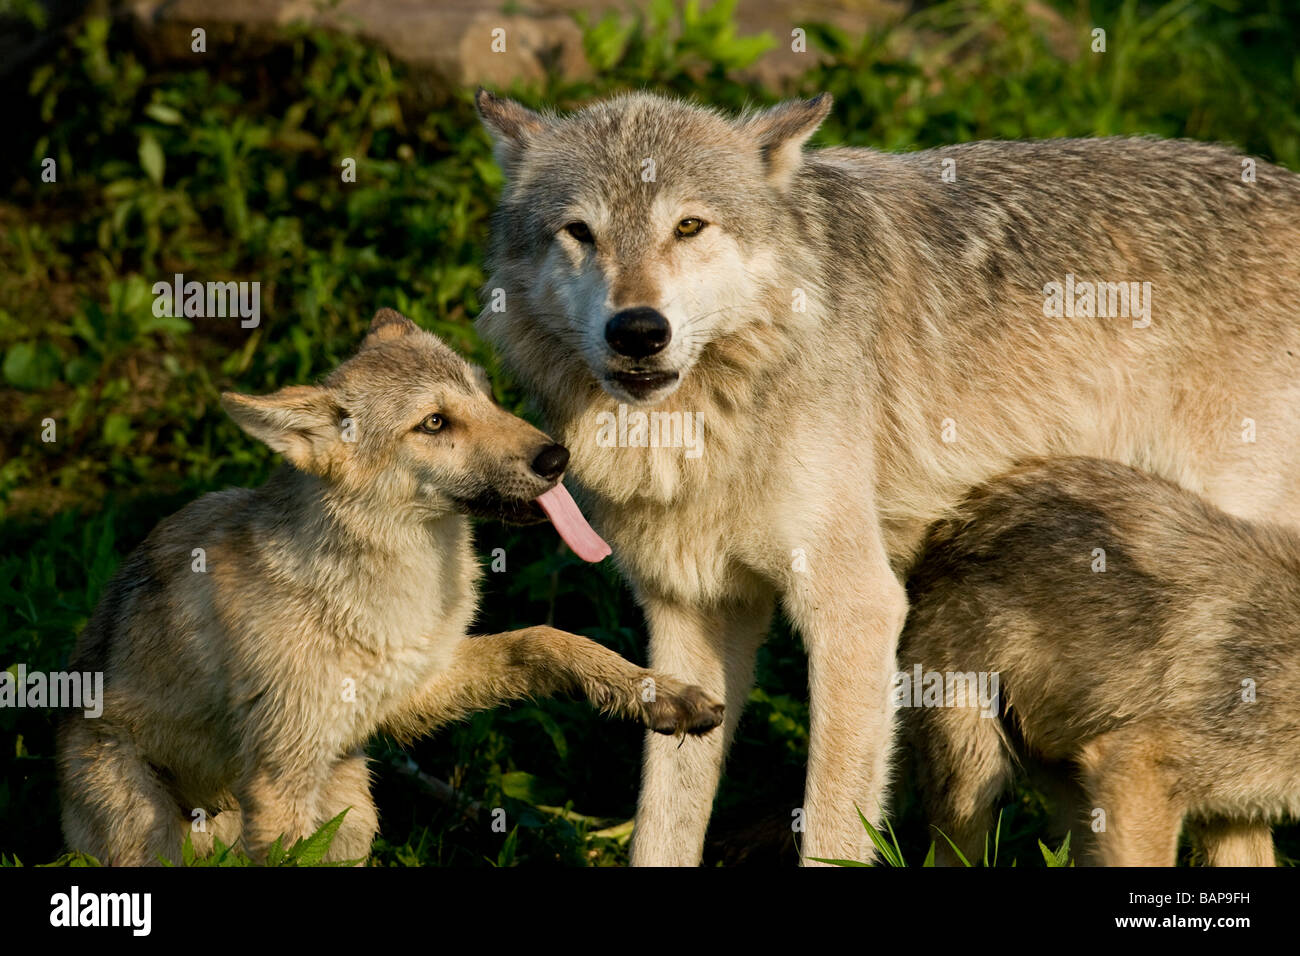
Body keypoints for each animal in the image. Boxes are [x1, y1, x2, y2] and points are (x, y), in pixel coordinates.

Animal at [56, 309, 723, 866]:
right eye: (434, 423)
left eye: (485, 394)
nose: (557, 458)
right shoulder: (278, 782)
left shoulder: (415, 690)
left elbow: (547, 640)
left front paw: (664, 695)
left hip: (355, 811)